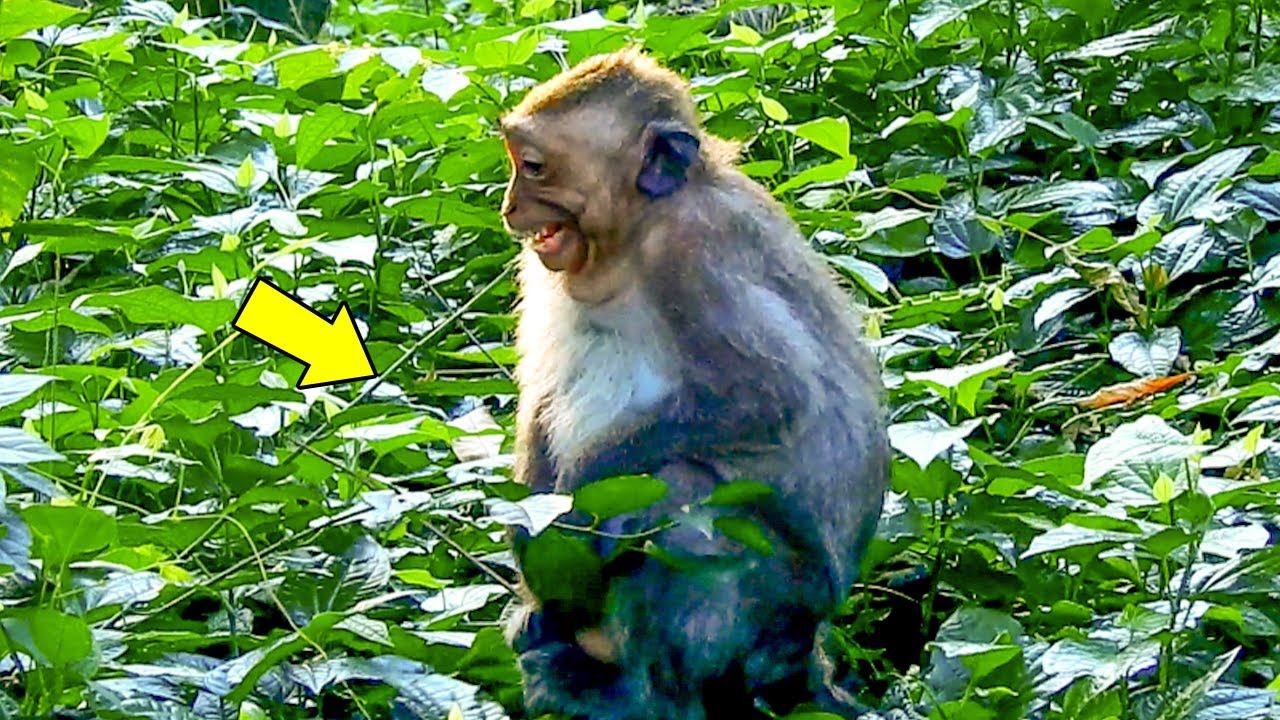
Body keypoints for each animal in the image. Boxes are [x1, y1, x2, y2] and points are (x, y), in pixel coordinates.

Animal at [498, 48, 890, 720]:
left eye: (537, 168)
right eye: (516, 161)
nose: (509, 206)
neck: (631, 238)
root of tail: (810, 646)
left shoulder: (695, 253)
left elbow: (767, 396)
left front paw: (574, 501)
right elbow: (543, 399)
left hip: (777, 609)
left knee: (679, 495)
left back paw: (635, 694)